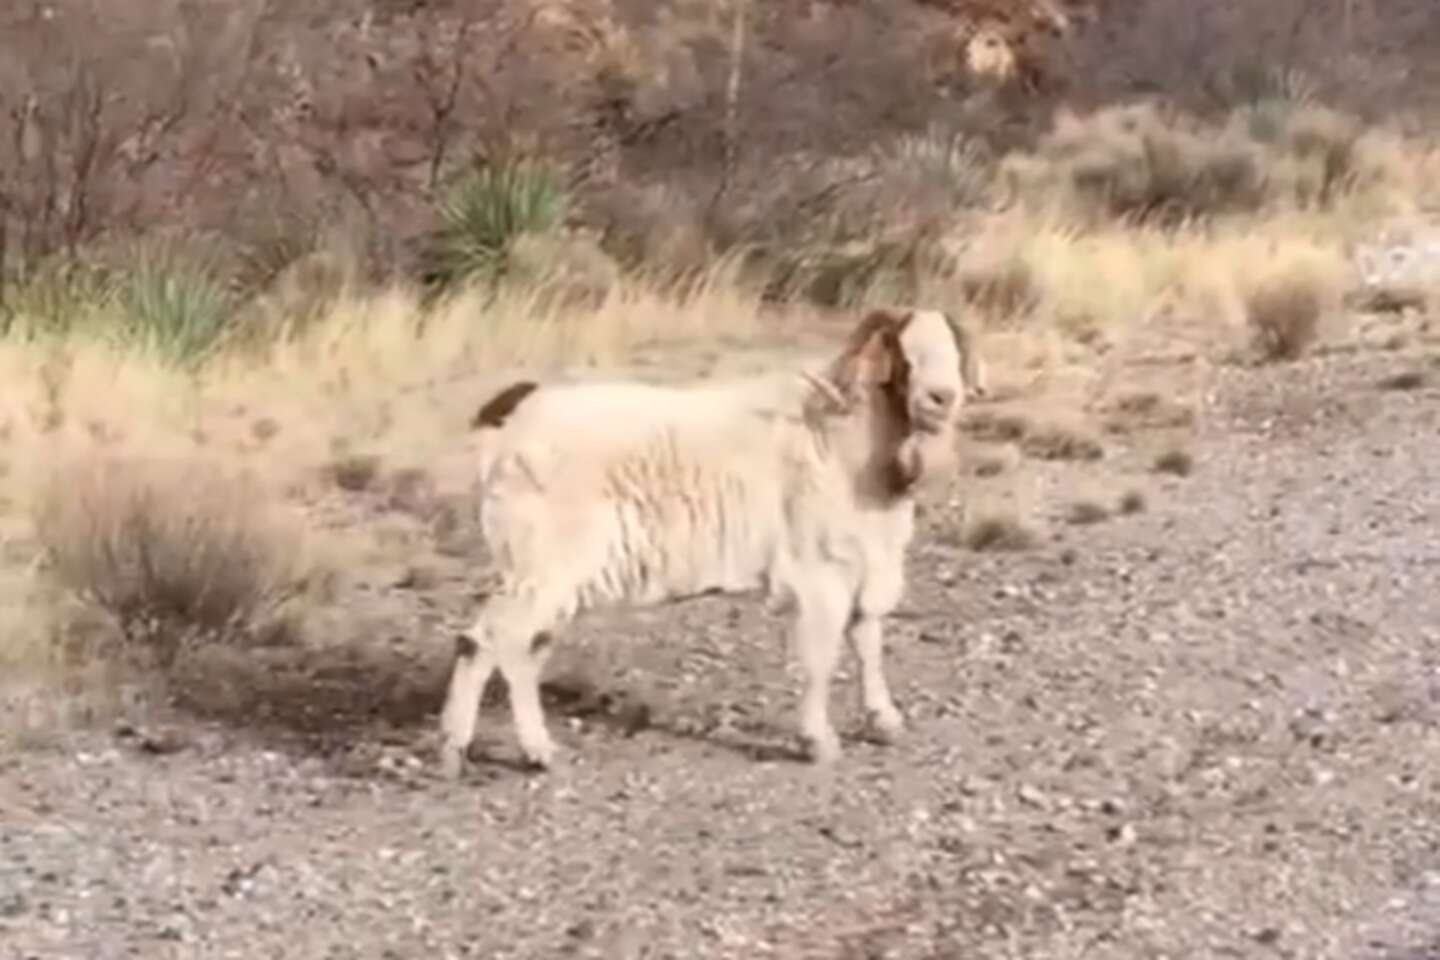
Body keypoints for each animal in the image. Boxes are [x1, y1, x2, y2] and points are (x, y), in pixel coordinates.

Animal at [438, 307, 985, 777]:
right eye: (905, 352)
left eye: (954, 349)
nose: (941, 398)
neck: (846, 444)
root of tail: (514, 413)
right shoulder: (818, 576)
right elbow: (821, 660)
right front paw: (819, 743)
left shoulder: (863, 567)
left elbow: (868, 642)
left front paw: (884, 722)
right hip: (539, 565)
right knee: (490, 643)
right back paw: (500, 751)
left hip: (550, 577)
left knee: (514, 649)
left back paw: (492, 751)